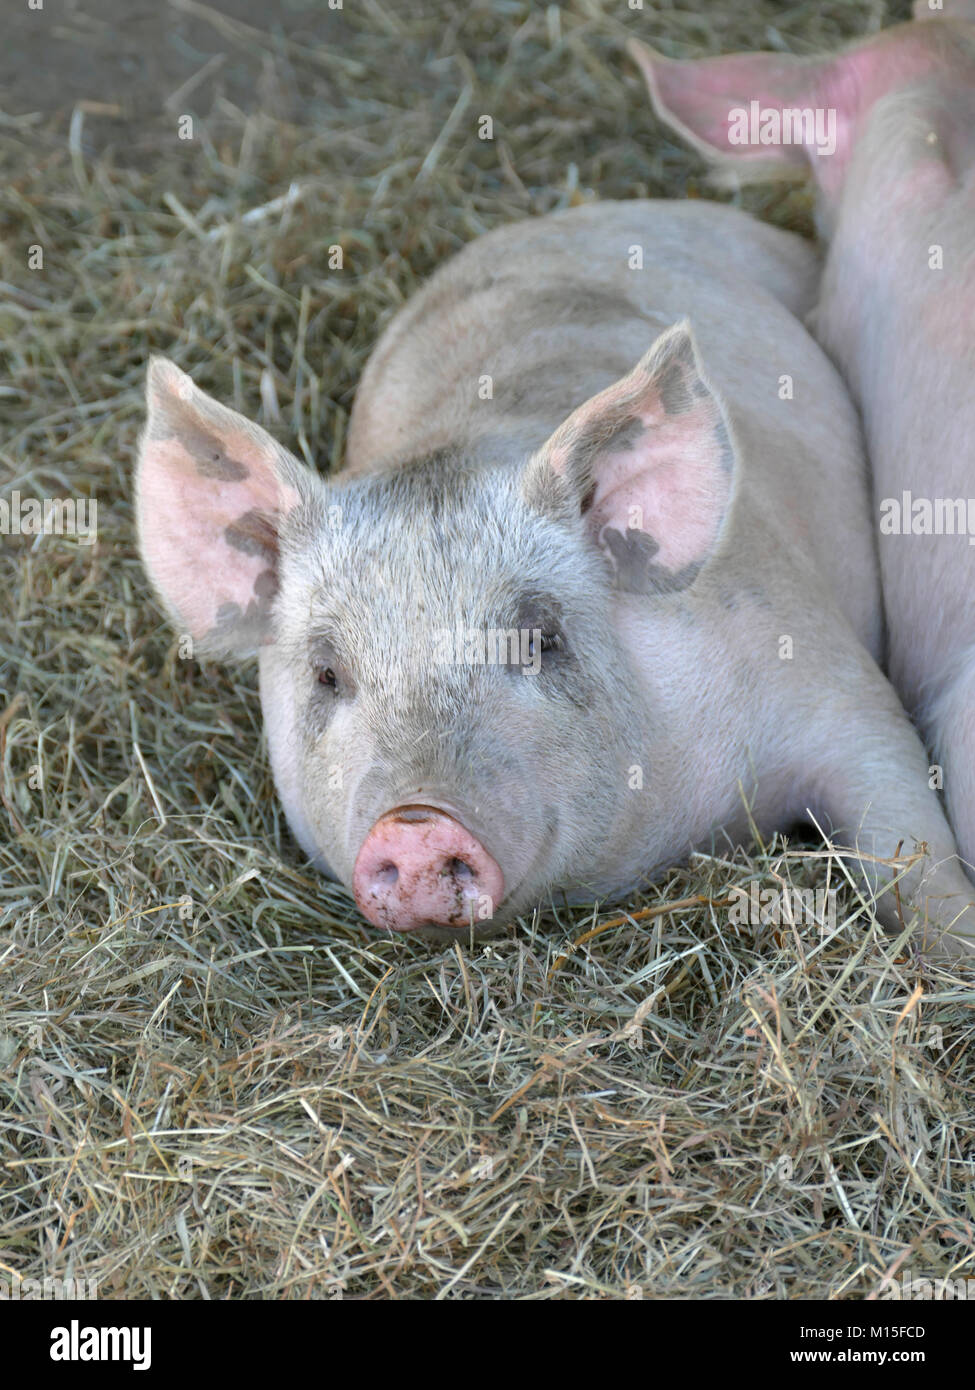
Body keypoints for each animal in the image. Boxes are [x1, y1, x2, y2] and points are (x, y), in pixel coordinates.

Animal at [136, 196, 975, 954]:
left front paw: (956, 948)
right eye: (327, 674)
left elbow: (901, 821)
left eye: (539, 641)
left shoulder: (819, 668)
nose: (415, 824)